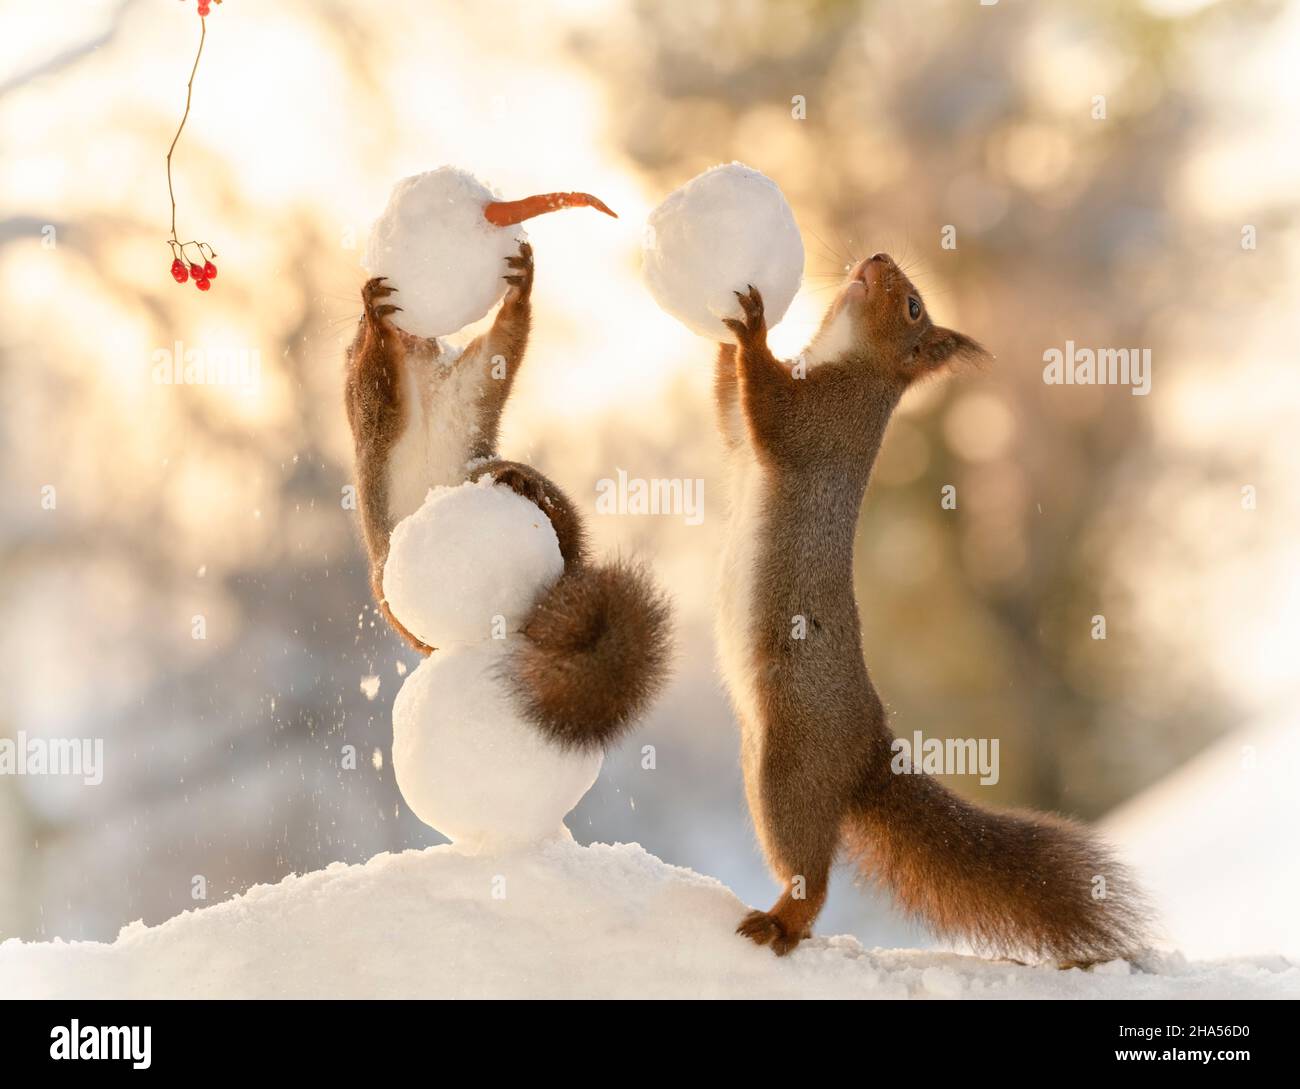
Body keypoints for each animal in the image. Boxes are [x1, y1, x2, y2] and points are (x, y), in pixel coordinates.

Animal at [345, 243, 671, 747]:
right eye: (355, 329)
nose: (411, 328)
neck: (425, 386)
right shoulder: (368, 418)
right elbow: (374, 385)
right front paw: (379, 320)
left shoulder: (467, 390)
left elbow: (498, 350)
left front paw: (520, 285)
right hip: (388, 587)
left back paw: (523, 486)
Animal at [715, 252, 1149, 964]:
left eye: (914, 306)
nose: (879, 257)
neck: (847, 356)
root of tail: (868, 750)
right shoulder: (744, 433)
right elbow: (729, 413)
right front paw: (728, 341)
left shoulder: (824, 419)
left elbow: (770, 412)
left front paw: (753, 332)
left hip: (790, 763)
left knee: (809, 873)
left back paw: (781, 924)